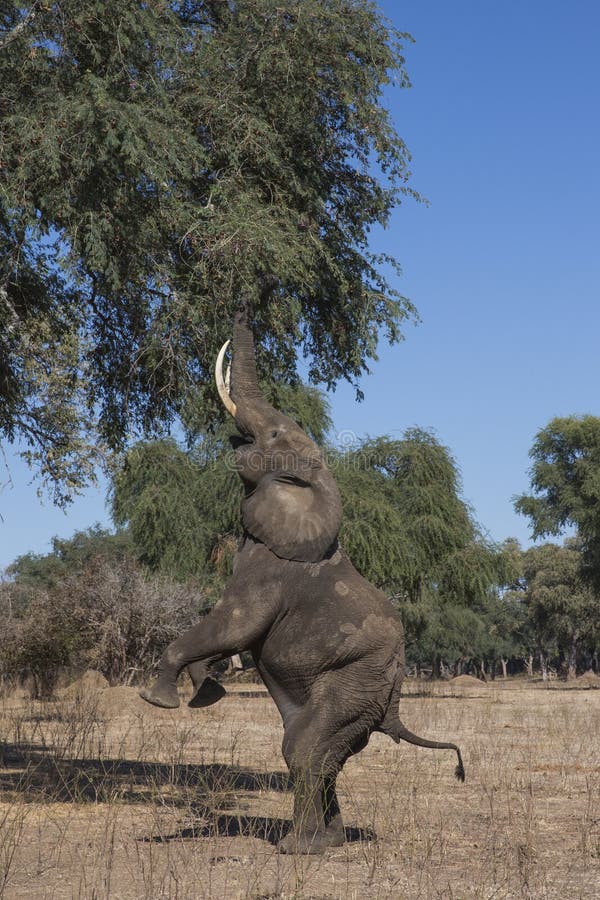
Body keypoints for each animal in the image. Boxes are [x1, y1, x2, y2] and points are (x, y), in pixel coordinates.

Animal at [140, 303, 464, 855]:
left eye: (273, 436)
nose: (245, 303)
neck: (314, 480)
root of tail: (397, 698)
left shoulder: (272, 570)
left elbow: (235, 625)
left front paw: (158, 698)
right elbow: (228, 635)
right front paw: (207, 689)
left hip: (355, 680)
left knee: (309, 748)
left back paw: (299, 848)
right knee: (311, 749)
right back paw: (326, 842)